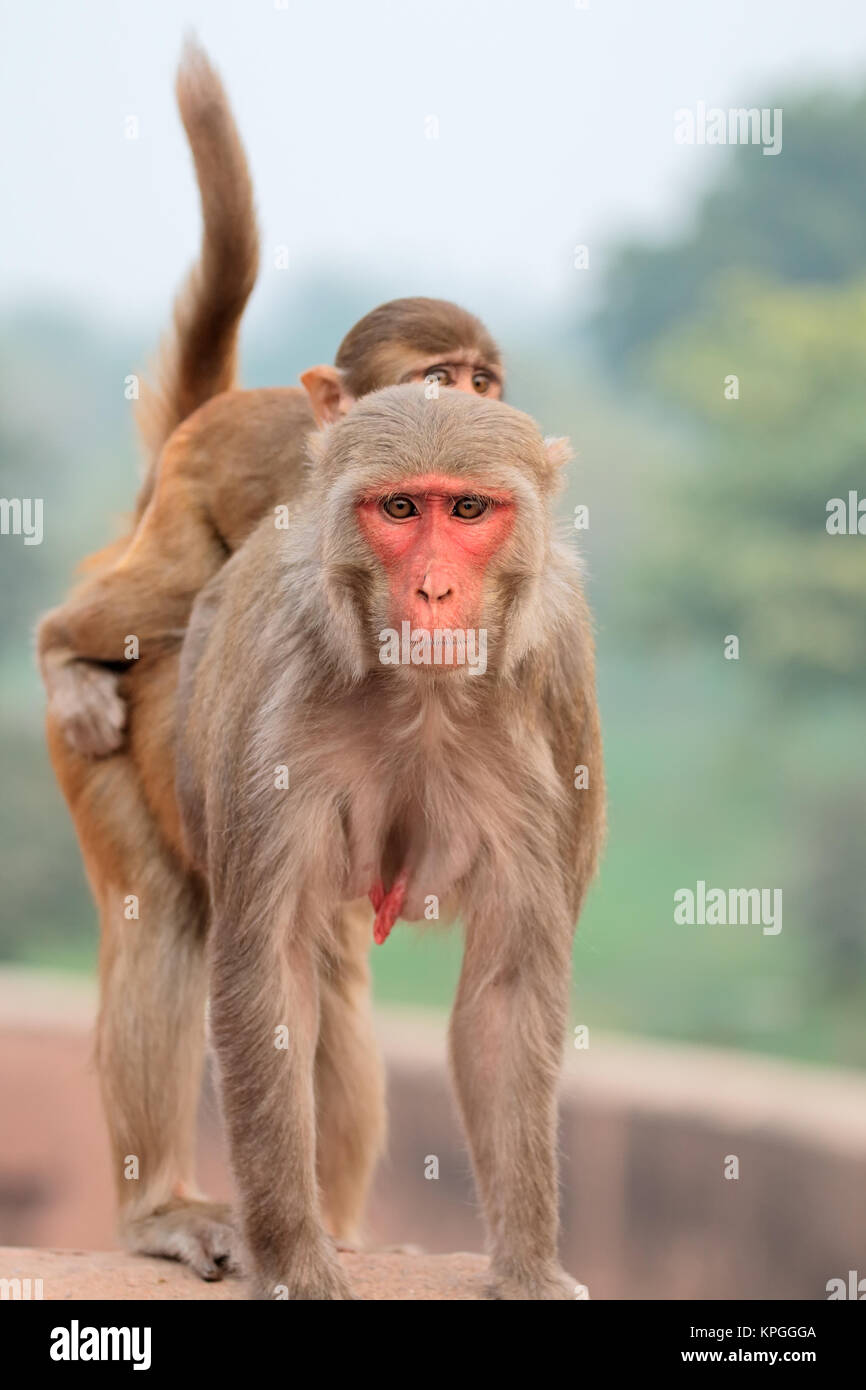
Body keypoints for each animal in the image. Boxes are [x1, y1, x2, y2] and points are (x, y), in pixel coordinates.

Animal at [37, 40, 506, 1279]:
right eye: (440, 377)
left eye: (483, 381)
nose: (474, 414)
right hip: (96, 731)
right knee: (160, 905)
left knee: (323, 967)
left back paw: (325, 1225)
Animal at [174, 384, 605, 1299]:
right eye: (400, 509)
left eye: (469, 509)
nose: (434, 589)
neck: (424, 696)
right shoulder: (283, 680)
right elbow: (270, 972)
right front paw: (295, 1261)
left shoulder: (557, 685)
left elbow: (508, 992)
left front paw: (528, 1267)